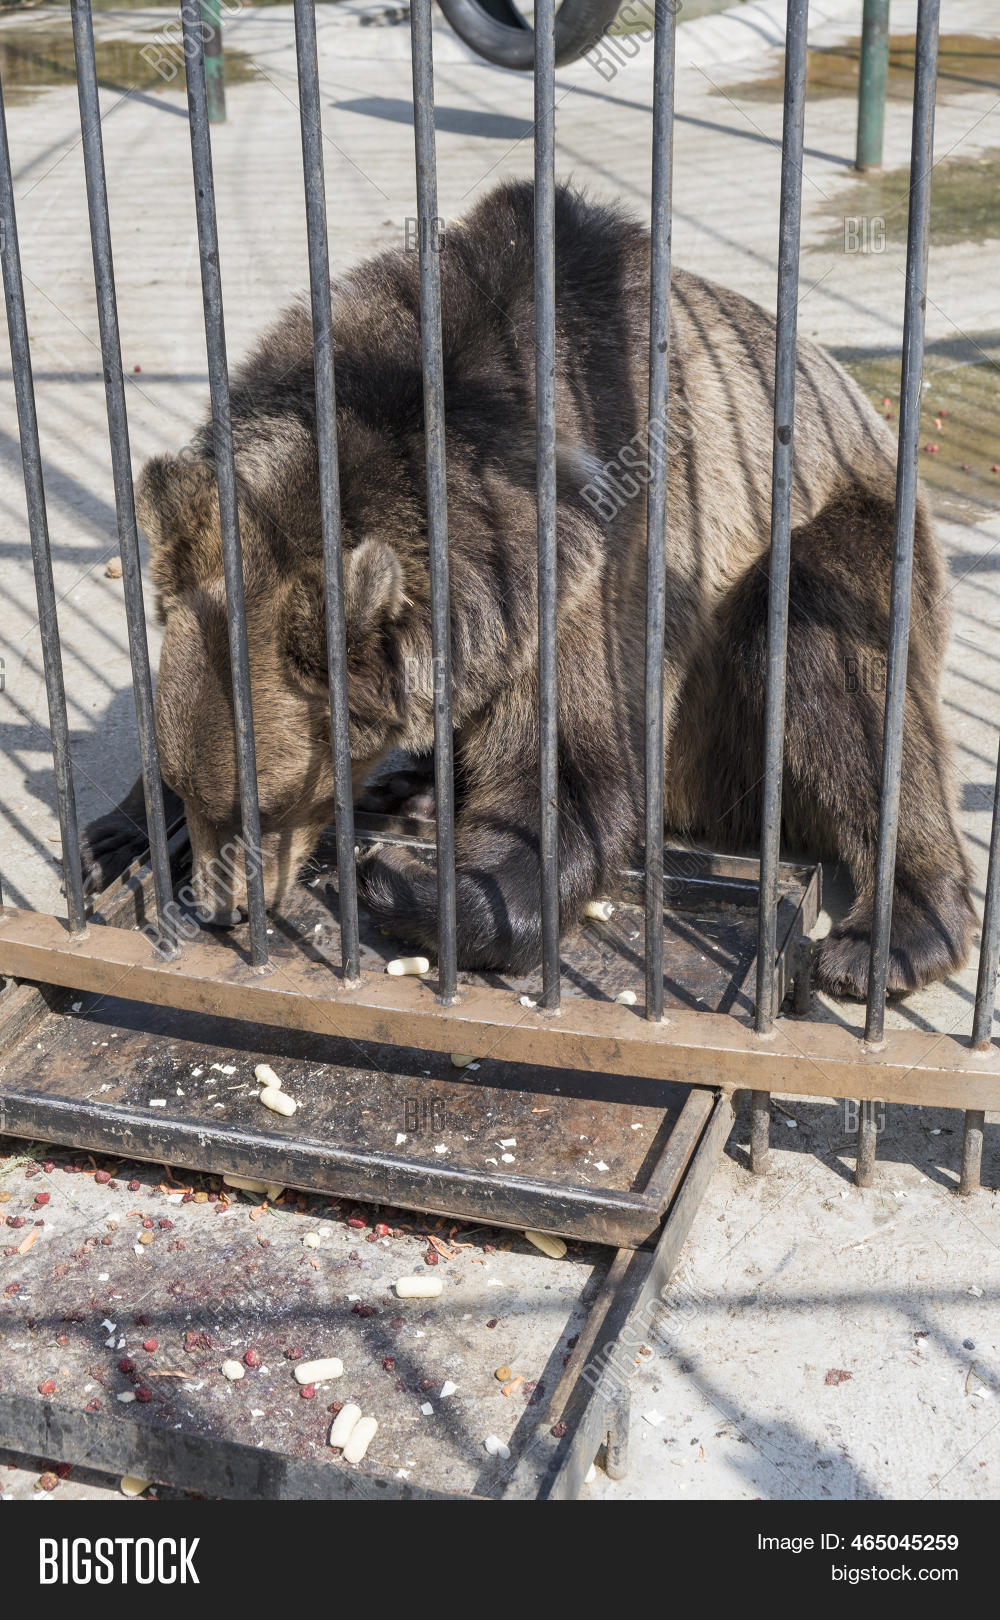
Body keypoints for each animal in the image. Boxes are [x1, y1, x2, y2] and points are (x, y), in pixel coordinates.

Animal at [79, 179, 974, 1000]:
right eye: (194, 791)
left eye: (265, 805)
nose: (225, 907)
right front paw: (117, 836)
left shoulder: (595, 567)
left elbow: (571, 780)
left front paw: (407, 887)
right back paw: (418, 787)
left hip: (837, 555)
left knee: (834, 657)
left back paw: (894, 934)